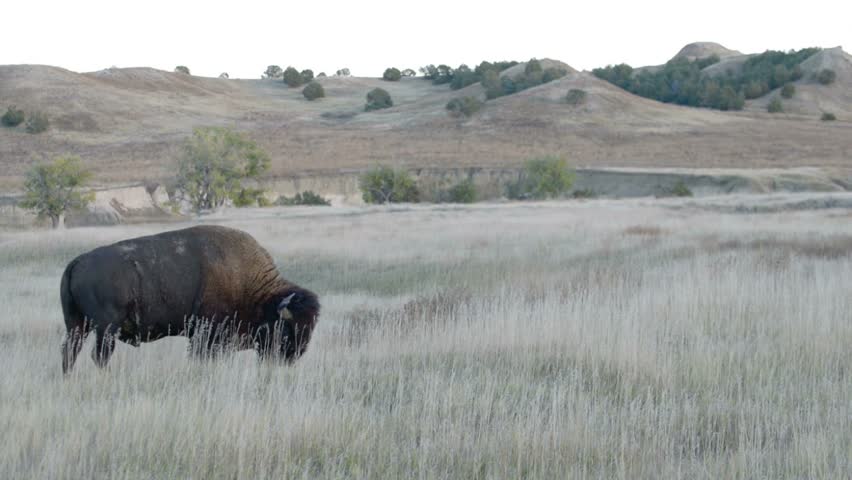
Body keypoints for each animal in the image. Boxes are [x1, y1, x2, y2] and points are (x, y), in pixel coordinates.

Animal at [60, 225, 319, 373]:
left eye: (310, 329)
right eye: (287, 329)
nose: (292, 357)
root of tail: (78, 261)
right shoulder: (206, 337)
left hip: (77, 324)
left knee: (70, 352)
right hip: (106, 329)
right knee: (99, 356)